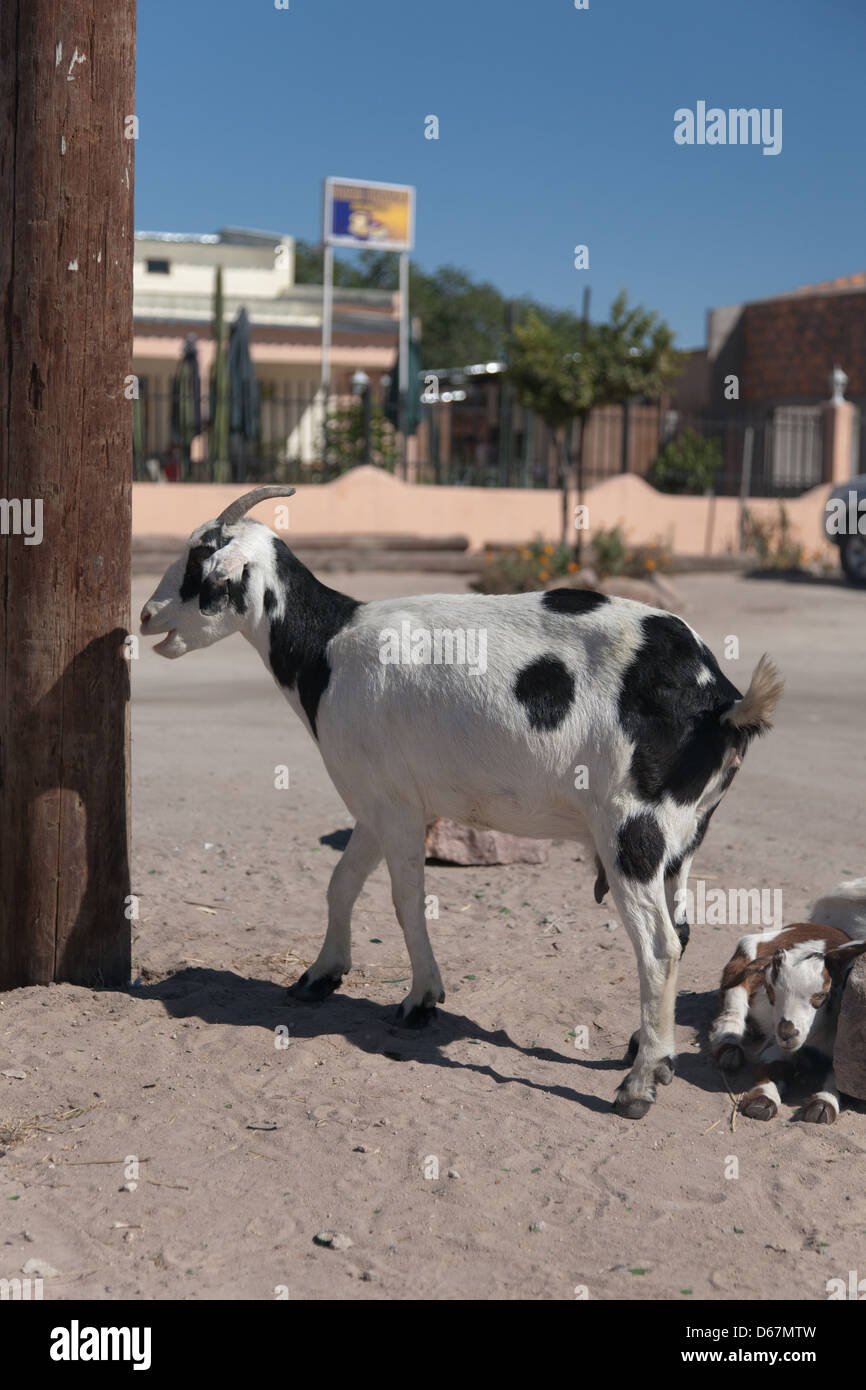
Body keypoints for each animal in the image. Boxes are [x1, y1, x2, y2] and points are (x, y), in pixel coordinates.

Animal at [140, 486, 783, 1120]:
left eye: (199, 564)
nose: (146, 616)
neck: (327, 647)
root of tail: (722, 702)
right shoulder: (380, 803)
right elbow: (341, 884)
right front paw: (320, 975)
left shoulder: (396, 807)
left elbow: (405, 901)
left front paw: (420, 999)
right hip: (683, 834)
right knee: (682, 927)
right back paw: (648, 1048)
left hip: (633, 829)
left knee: (658, 945)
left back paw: (639, 1085)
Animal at [709, 880, 866, 1122]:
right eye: (770, 992)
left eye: (821, 996)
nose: (787, 1033)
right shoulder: (776, 1043)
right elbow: (773, 1064)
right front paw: (761, 1101)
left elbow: (839, 1081)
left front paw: (823, 1106)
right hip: (744, 957)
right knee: (733, 1008)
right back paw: (729, 1048)